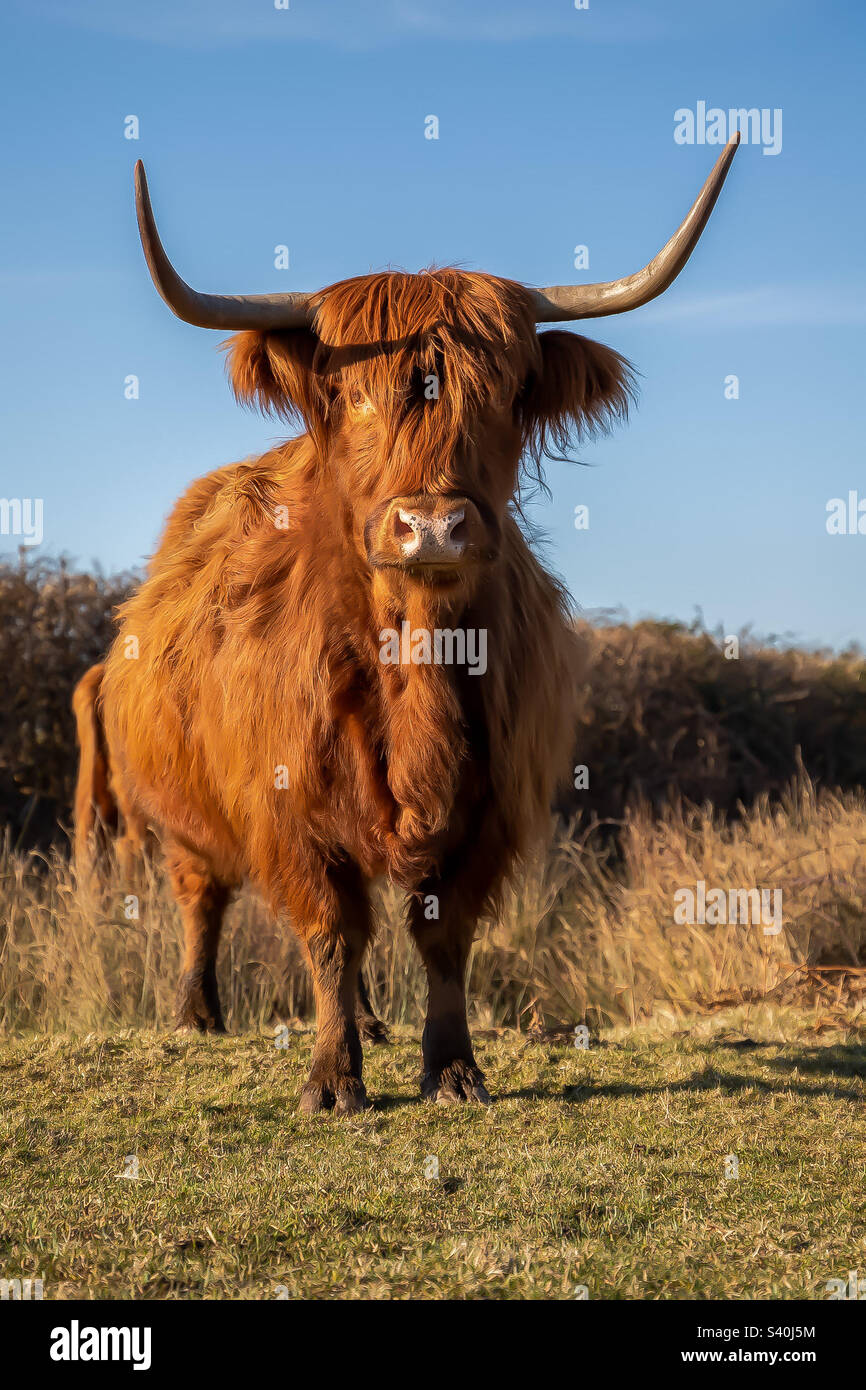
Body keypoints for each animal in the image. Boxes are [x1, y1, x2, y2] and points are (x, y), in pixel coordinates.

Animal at [82, 138, 738, 1113]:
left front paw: (452, 1068)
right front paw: (332, 1080)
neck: (417, 656)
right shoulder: (289, 805)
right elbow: (328, 930)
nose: (431, 526)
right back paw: (198, 1014)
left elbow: (441, 935)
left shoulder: (491, 808)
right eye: (354, 394)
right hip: (180, 813)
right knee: (204, 897)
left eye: (506, 393)